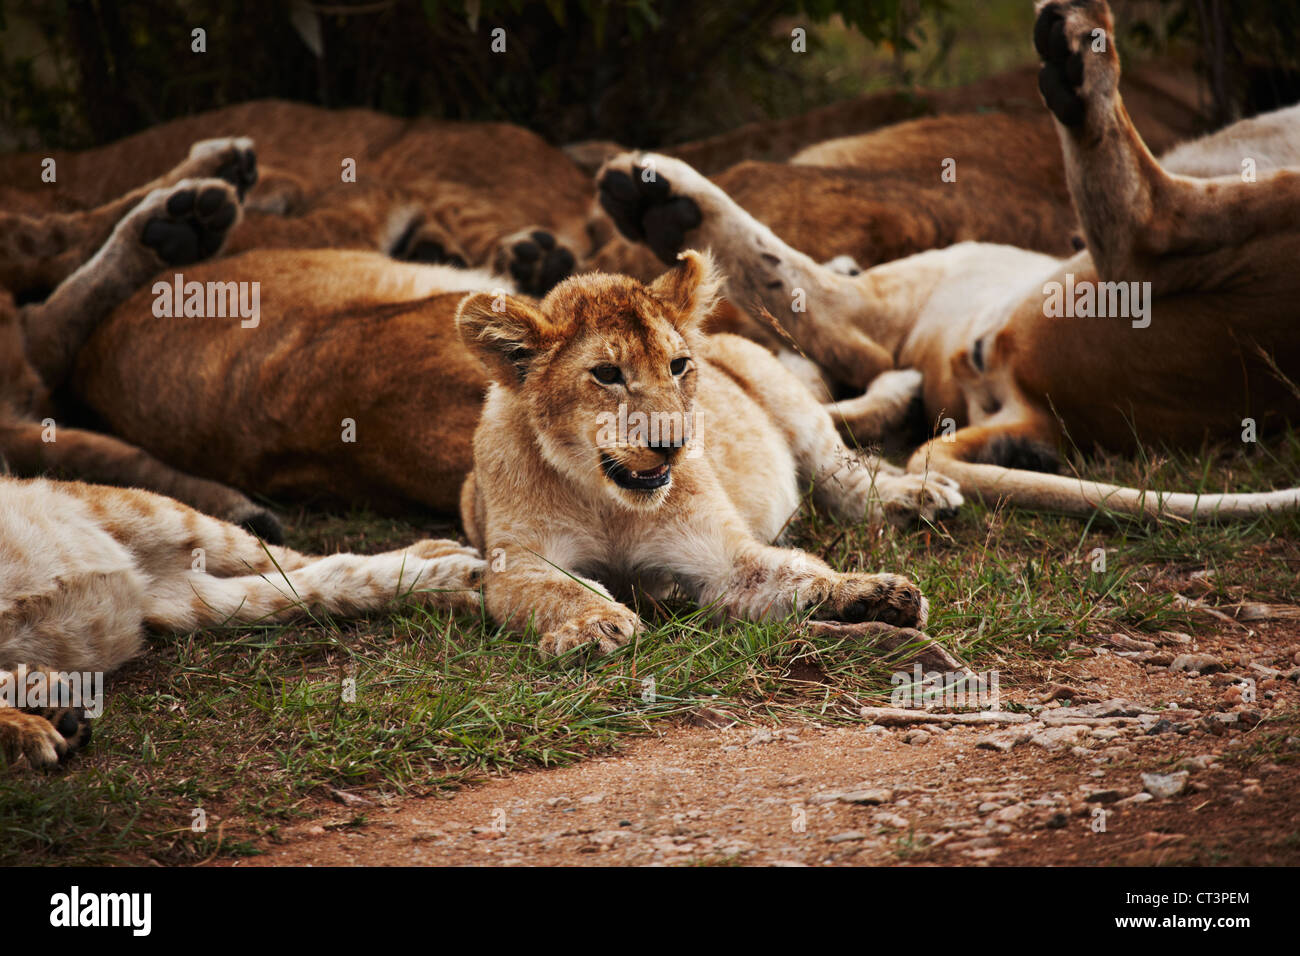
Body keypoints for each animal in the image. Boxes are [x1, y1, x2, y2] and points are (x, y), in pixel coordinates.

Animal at [453, 250, 961, 658]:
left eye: (678, 366)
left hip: (790, 401)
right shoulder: (515, 563)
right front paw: (594, 625)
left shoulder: (721, 555)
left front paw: (878, 595)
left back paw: (920, 497)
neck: (608, 502)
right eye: (606, 374)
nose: (672, 444)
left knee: (849, 479)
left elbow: (800, 571)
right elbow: (562, 589)